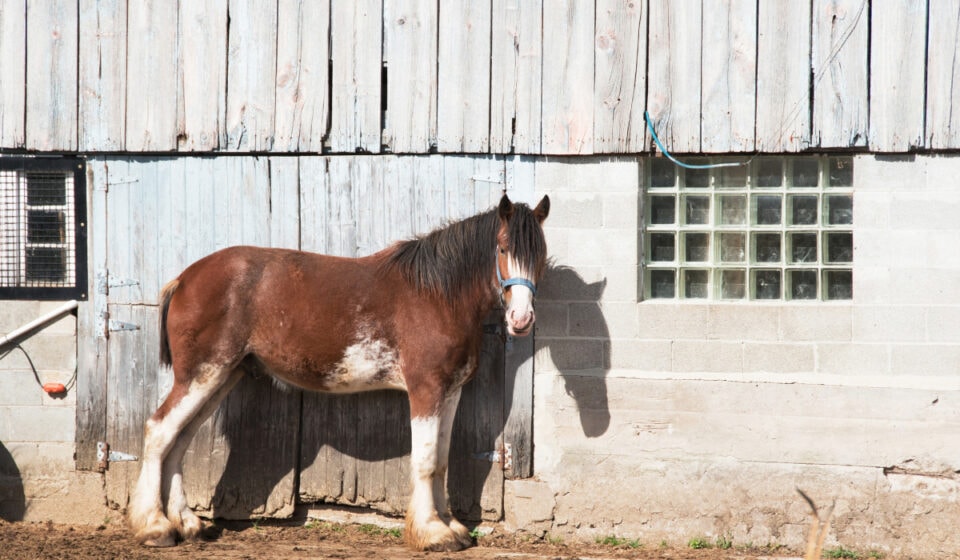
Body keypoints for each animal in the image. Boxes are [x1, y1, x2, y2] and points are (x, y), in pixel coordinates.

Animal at [127, 193, 550, 552]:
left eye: (541, 254)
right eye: (503, 248)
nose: (522, 319)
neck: (437, 296)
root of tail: (185, 278)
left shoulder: (449, 392)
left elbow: (441, 461)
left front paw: (452, 527)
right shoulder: (426, 390)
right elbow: (426, 460)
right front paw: (433, 533)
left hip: (221, 377)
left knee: (179, 441)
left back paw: (186, 523)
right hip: (201, 376)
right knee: (159, 431)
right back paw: (155, 527)